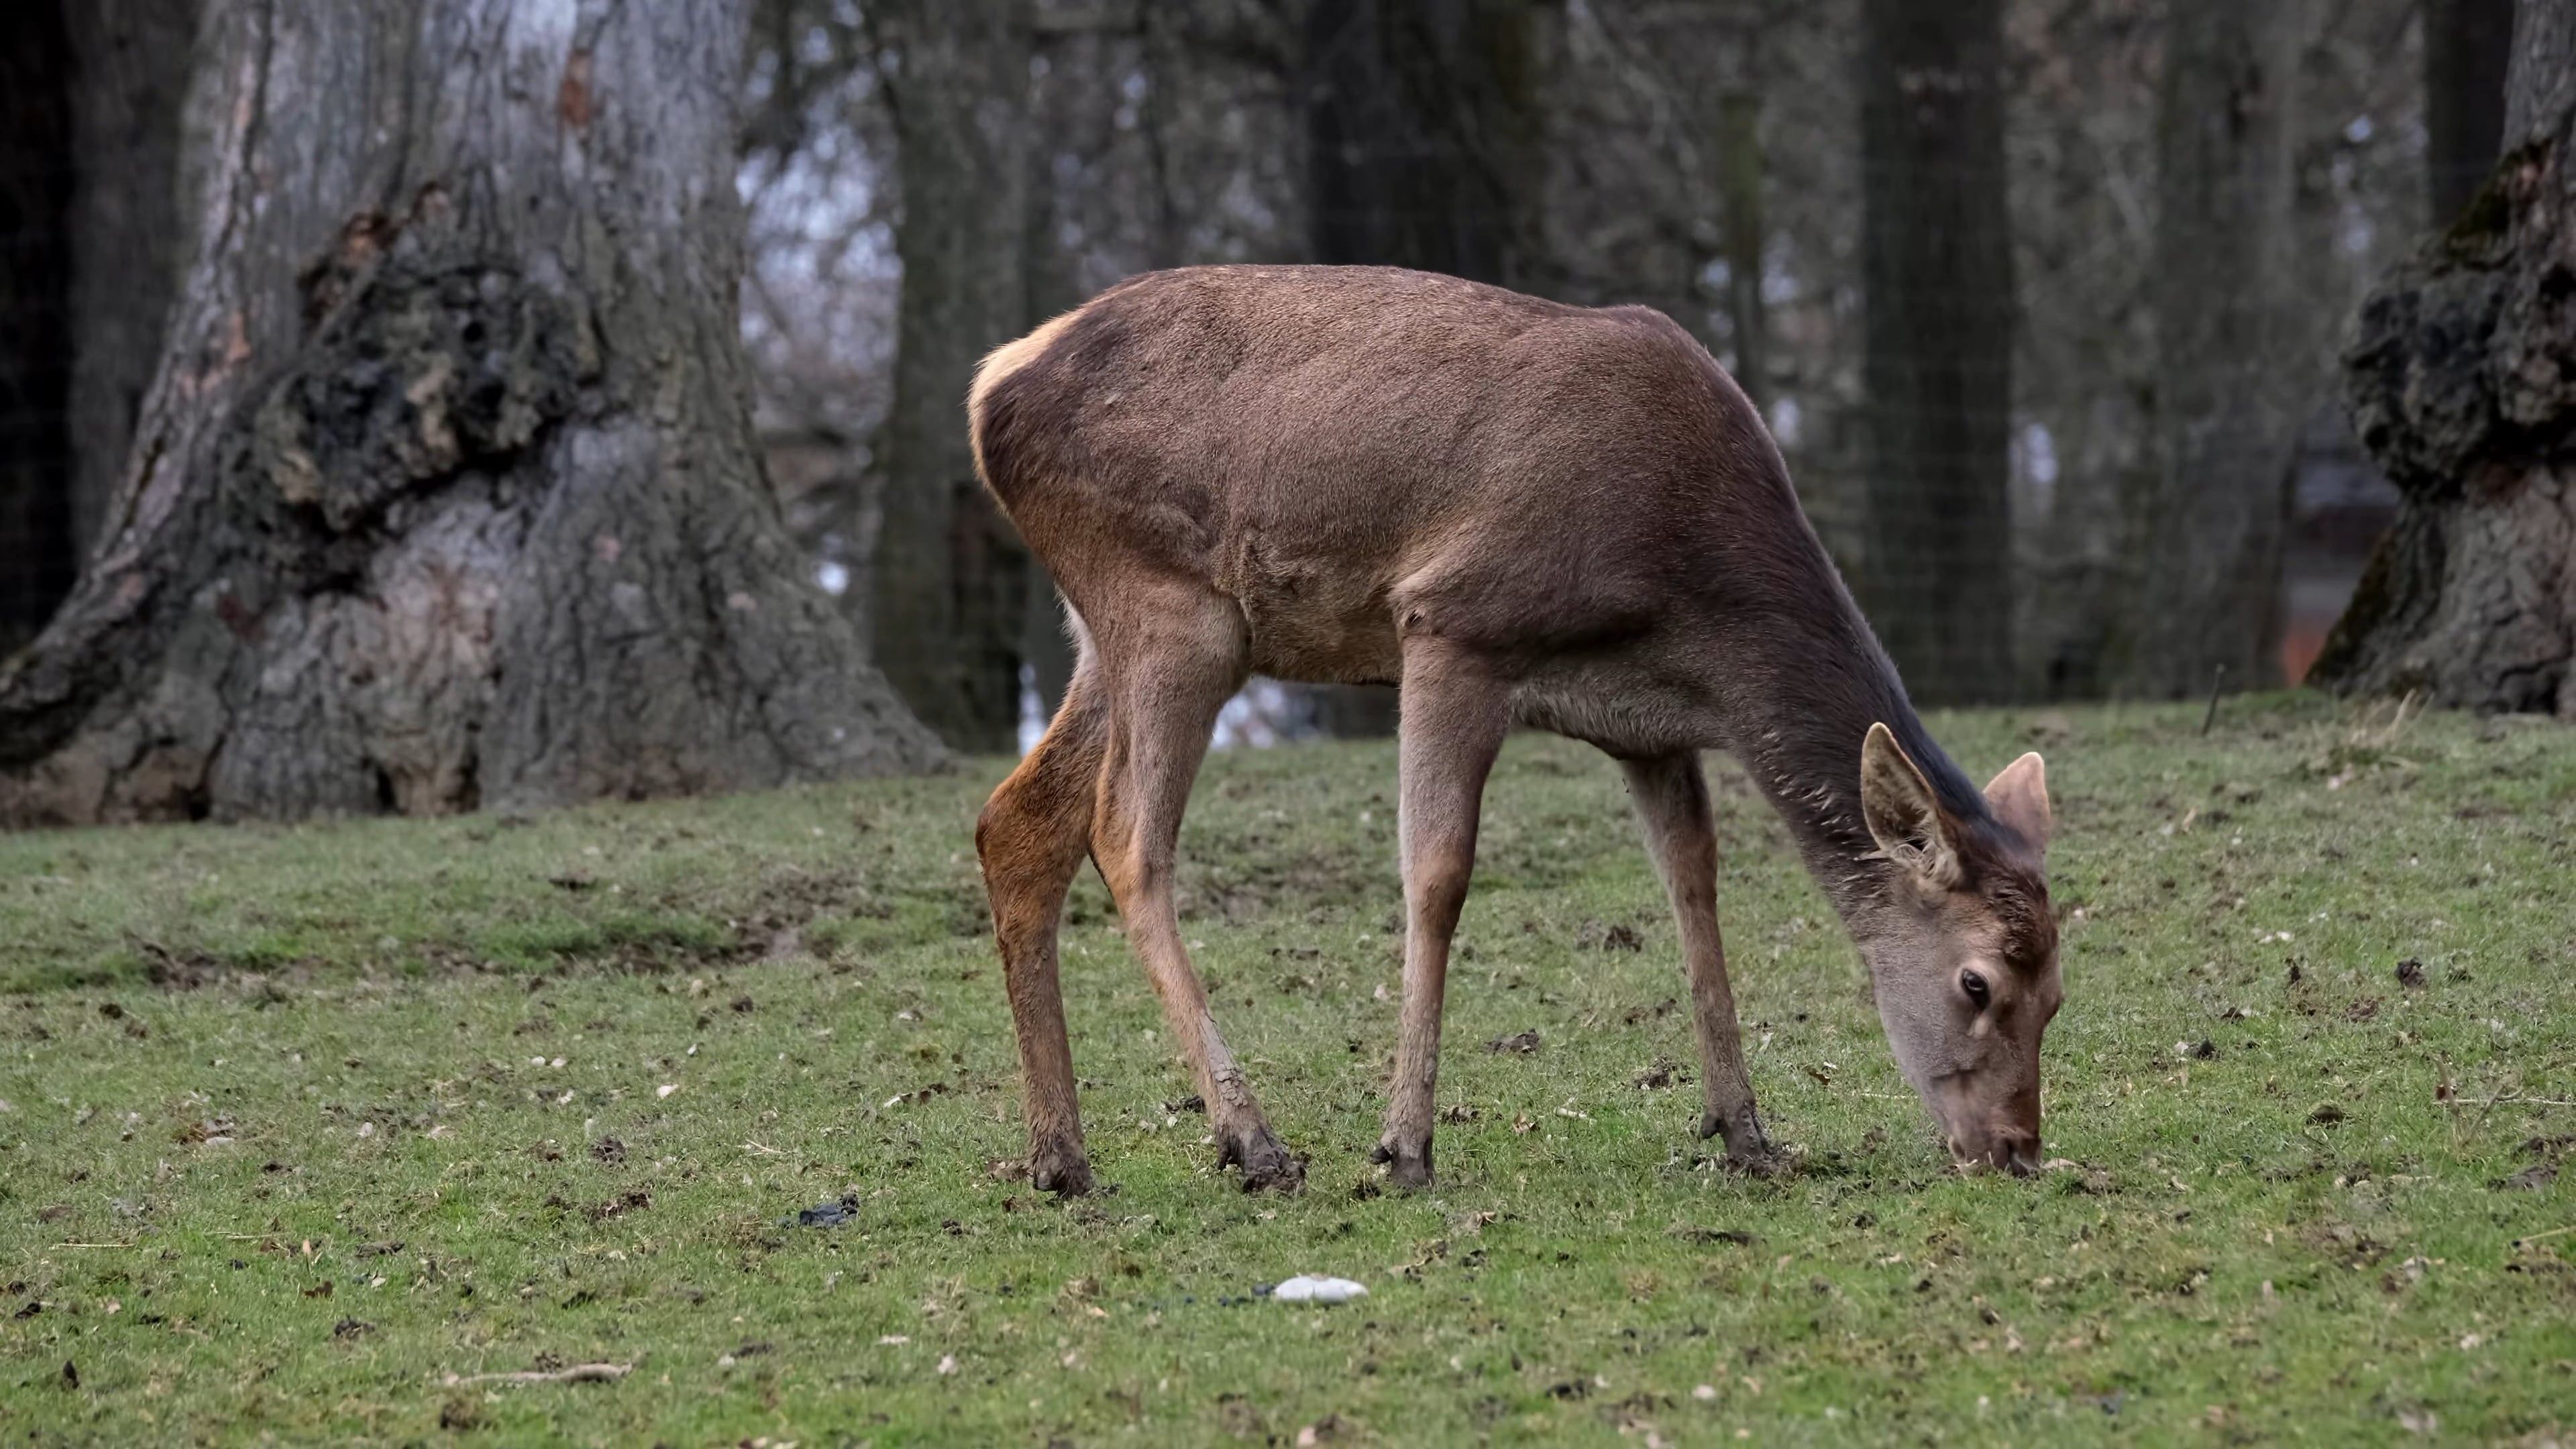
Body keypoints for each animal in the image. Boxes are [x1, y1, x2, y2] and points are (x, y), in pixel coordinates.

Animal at [968, 265, 2059, 1196]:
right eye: (1978, 982)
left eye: (2056, 993)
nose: (2016, 1149)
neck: (1692, 608)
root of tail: (990, 387)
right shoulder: (1452, 623)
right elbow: (1438, 874)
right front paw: (1403, 1146)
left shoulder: (1650, 727)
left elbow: (1693, 885)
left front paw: (1745, 1131)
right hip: (1173, 604)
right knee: (1124, 835)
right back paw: (1253, 1139)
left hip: (1106, 633)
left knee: (1016, 823)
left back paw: (1061, 1158)